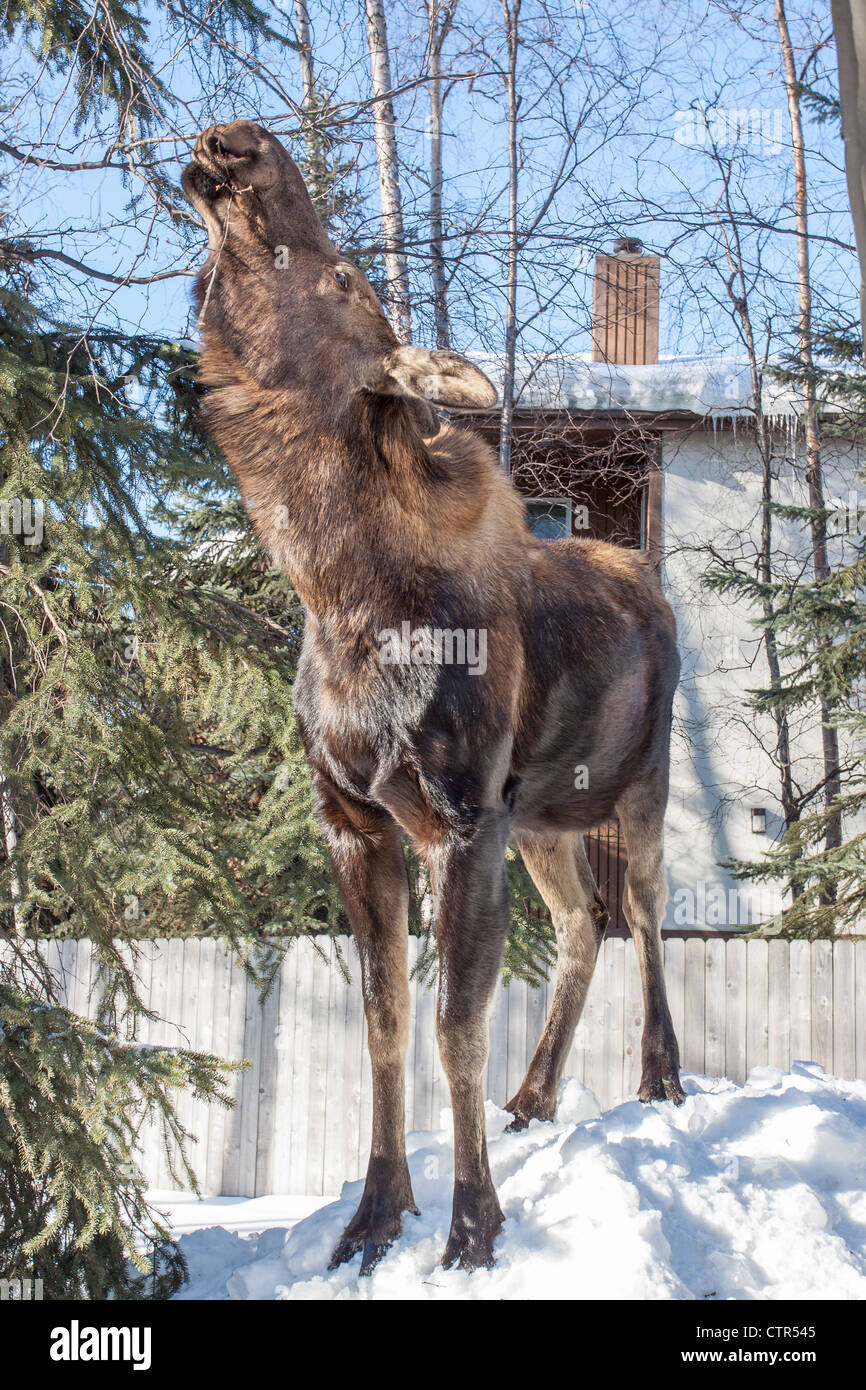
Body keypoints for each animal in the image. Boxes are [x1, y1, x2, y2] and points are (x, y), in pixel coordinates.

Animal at [182, 121, 684, 1276]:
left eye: (343, 277)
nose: (239, 141)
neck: (339, 592)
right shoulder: (358, 821)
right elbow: (386, 1020)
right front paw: (373, 1218)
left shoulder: (460, 816)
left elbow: (455, 1020)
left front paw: (471, 1225)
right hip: (540, 816)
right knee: (584, 924)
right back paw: (535, 1095)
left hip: (637, 787)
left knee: (645, 911)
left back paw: (661, 1075)